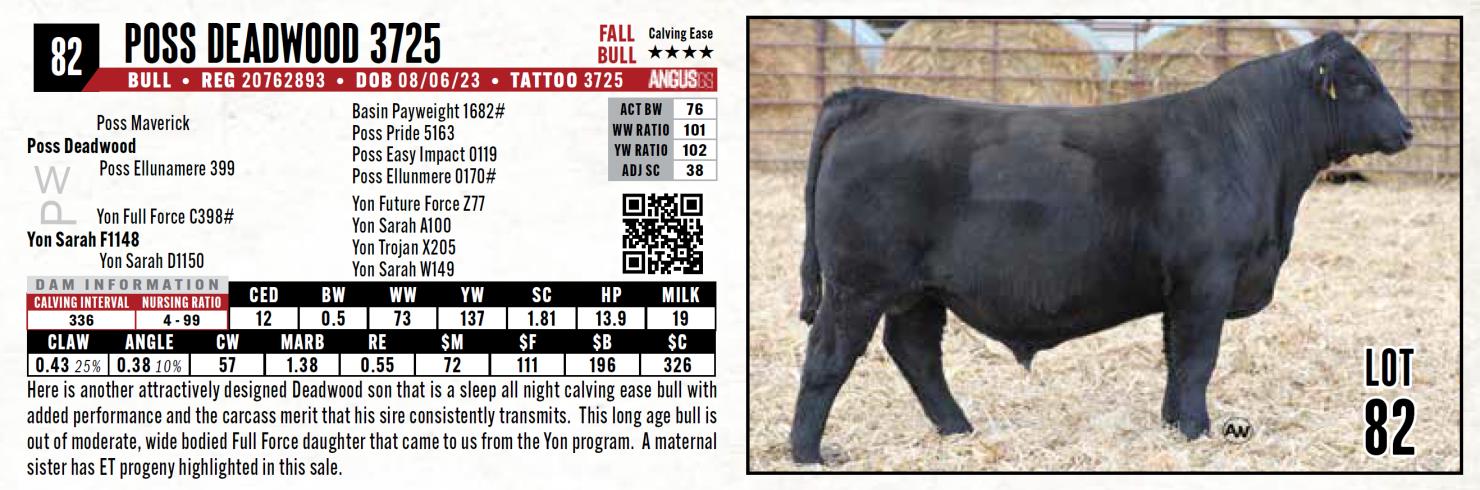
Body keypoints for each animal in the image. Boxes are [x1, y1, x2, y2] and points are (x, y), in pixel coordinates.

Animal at [791, 31, 1411, 464]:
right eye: (1361, 83)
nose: (1407, 129)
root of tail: (870, 98)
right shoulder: (1207, 279)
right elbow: (1197, 360)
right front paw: (1197, 432)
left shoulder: (1179, 289)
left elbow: (1175, 359)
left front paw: (1174, 426)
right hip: (858, 286)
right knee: (827, 358)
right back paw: (808, 453)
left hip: (919, 291)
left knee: (916, 353)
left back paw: (959, 431)